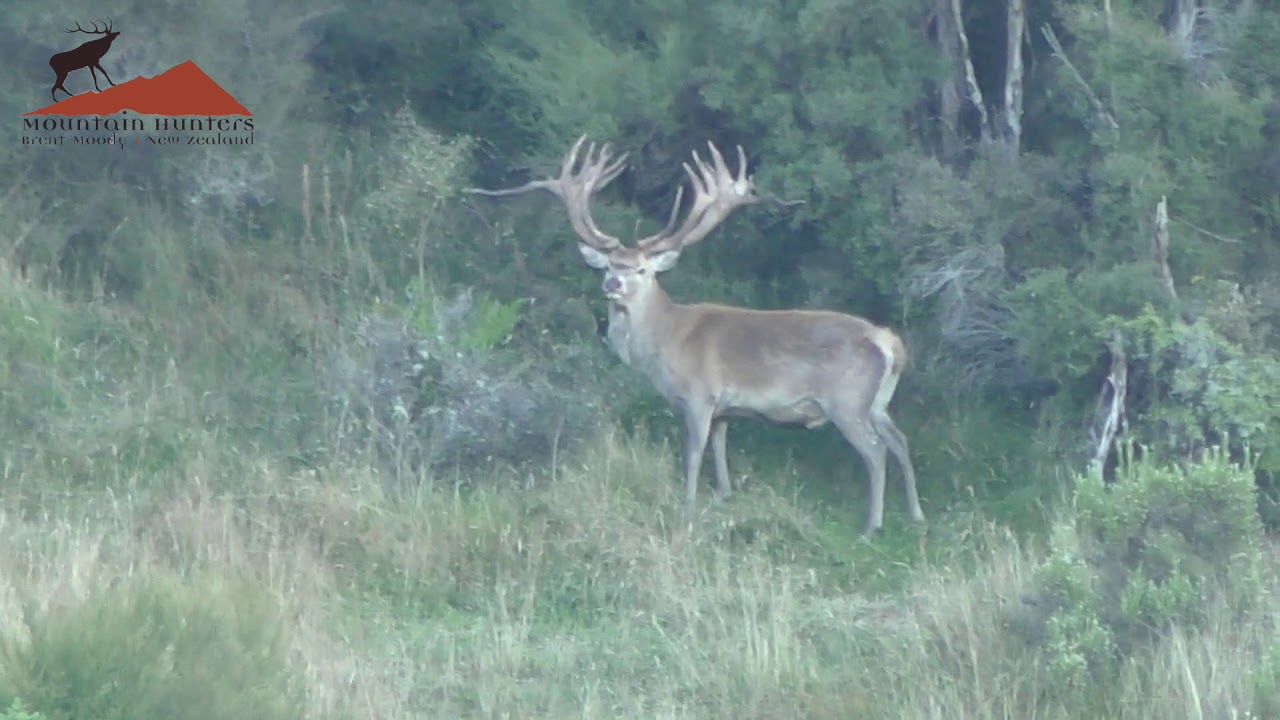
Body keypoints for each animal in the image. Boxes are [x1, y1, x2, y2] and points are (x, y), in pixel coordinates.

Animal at [466, 136, 925, 537]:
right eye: (609, 264)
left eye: (641, 269)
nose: (613, 283)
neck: (664, 342)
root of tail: (889, 342)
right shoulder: (724, 407)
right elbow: (720, 450)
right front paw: (723, 497)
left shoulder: (699, 394)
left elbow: (692, 453)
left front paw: (686, 506)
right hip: (877, 401)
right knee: (900, 441)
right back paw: (916, 515)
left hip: (846, 400)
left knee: (875, 451)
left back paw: (871, 527)